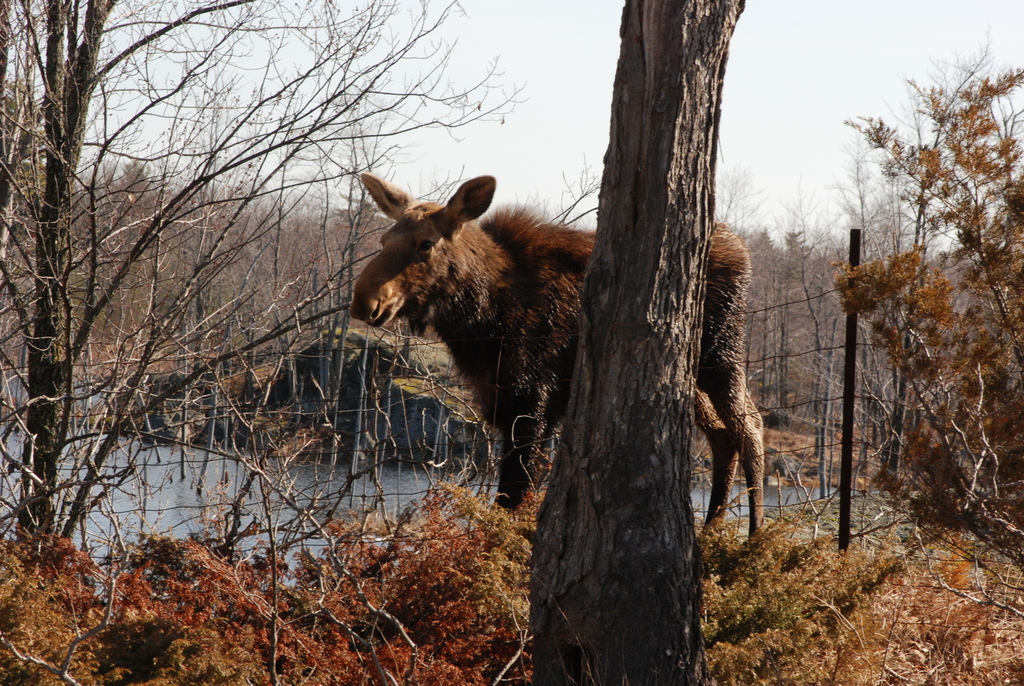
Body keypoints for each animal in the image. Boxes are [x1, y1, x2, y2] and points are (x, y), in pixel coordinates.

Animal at [350, 173, 765, 534]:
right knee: (722, 435)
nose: (364, 301)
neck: (478, 318)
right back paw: (709, 530)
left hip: (720, 352)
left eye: (426, 243)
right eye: (385, 239)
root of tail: (741, 247)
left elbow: (513, 494)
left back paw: (755, 534)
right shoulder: (501, 396)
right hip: (687, 374)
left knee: (751, 427)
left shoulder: (533, 397)